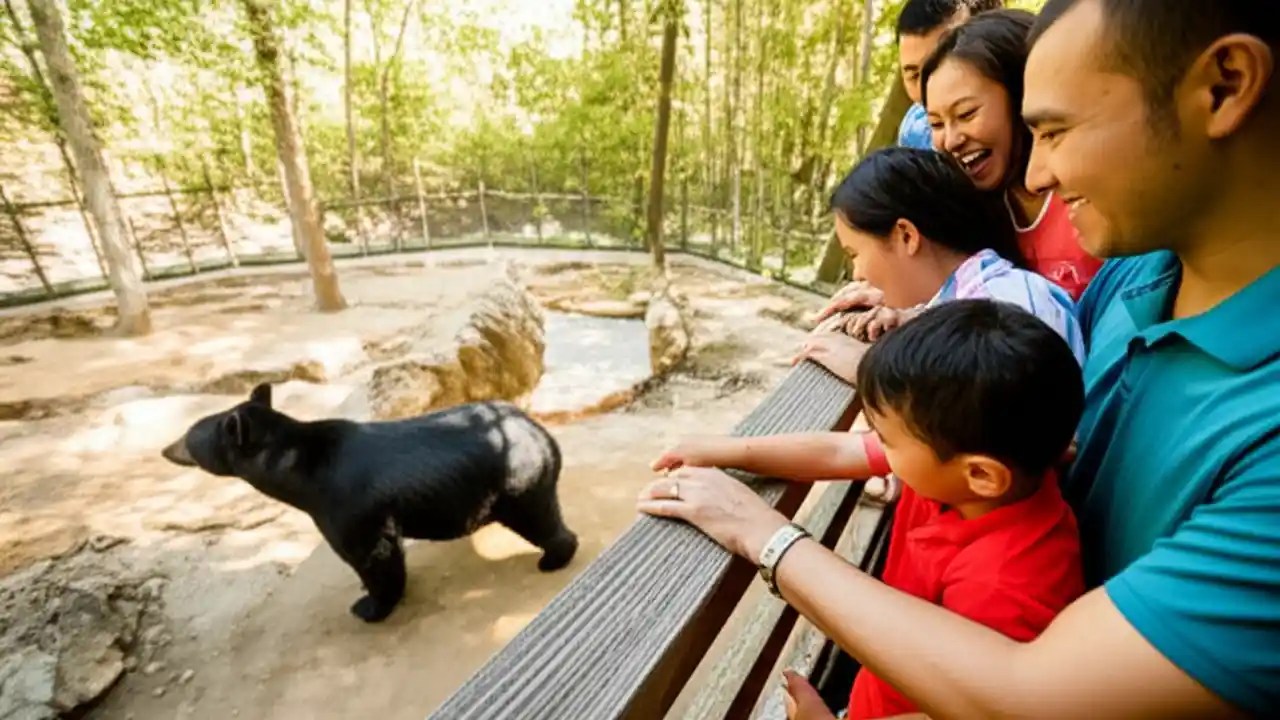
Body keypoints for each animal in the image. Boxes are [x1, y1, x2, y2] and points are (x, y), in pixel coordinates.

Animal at [160, 383, 578, 622]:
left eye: (189, 437)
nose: (165, 449)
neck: (300, 471)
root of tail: (542, 434)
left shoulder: (345, 506)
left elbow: (373, 554)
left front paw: (369, 606)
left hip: (516, 482)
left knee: (539, 518)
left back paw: (553, 557)